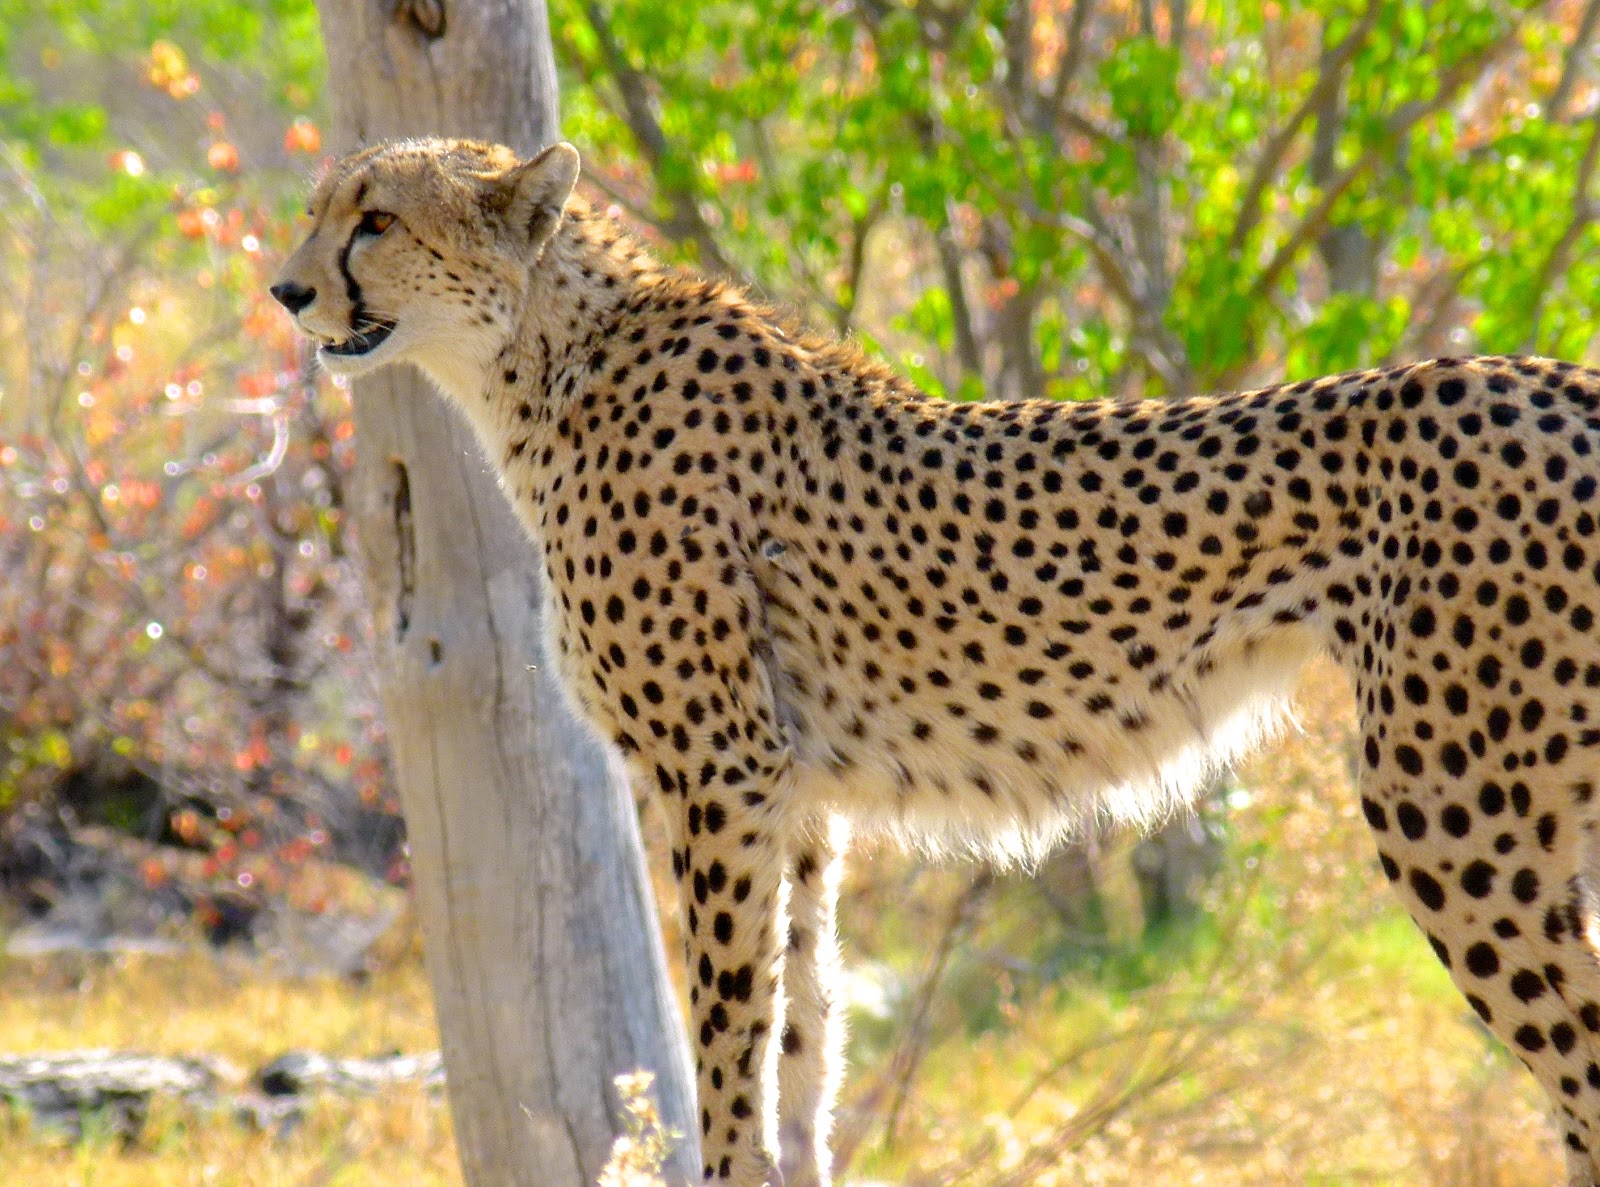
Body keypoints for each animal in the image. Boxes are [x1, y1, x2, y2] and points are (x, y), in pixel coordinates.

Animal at [273, 137, 1600, 1187]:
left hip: (1448, 807)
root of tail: (1548, 375)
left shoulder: (717, 772)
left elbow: (727, 1036)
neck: (545, 357)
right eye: (320, 203)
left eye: (376, 217)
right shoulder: (794, 798)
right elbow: (801, 1038)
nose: (288, 290)